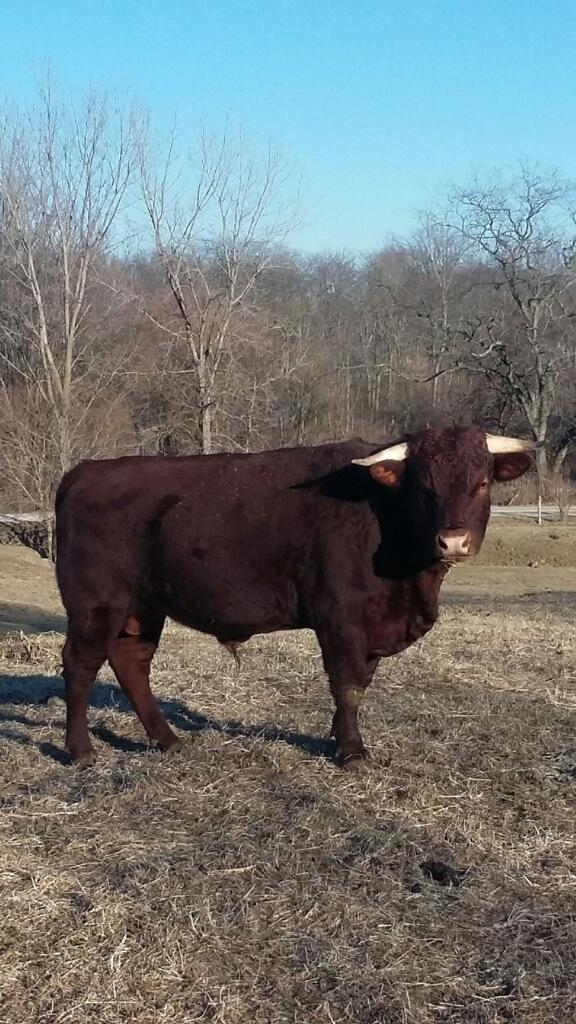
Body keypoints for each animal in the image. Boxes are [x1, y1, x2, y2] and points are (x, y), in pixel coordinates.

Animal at [55, 426, 533, 768]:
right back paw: (81, 751)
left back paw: (168, 739)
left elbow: (361, 683)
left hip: (142, 607)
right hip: (96, 603)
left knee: (131, 663)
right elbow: (348, 686)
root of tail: (84, 472)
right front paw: (351, 751)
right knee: (80, 666)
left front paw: (339, 738)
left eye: (482, 483)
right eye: (422, 486)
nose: (452, 541)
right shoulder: (341, 618)